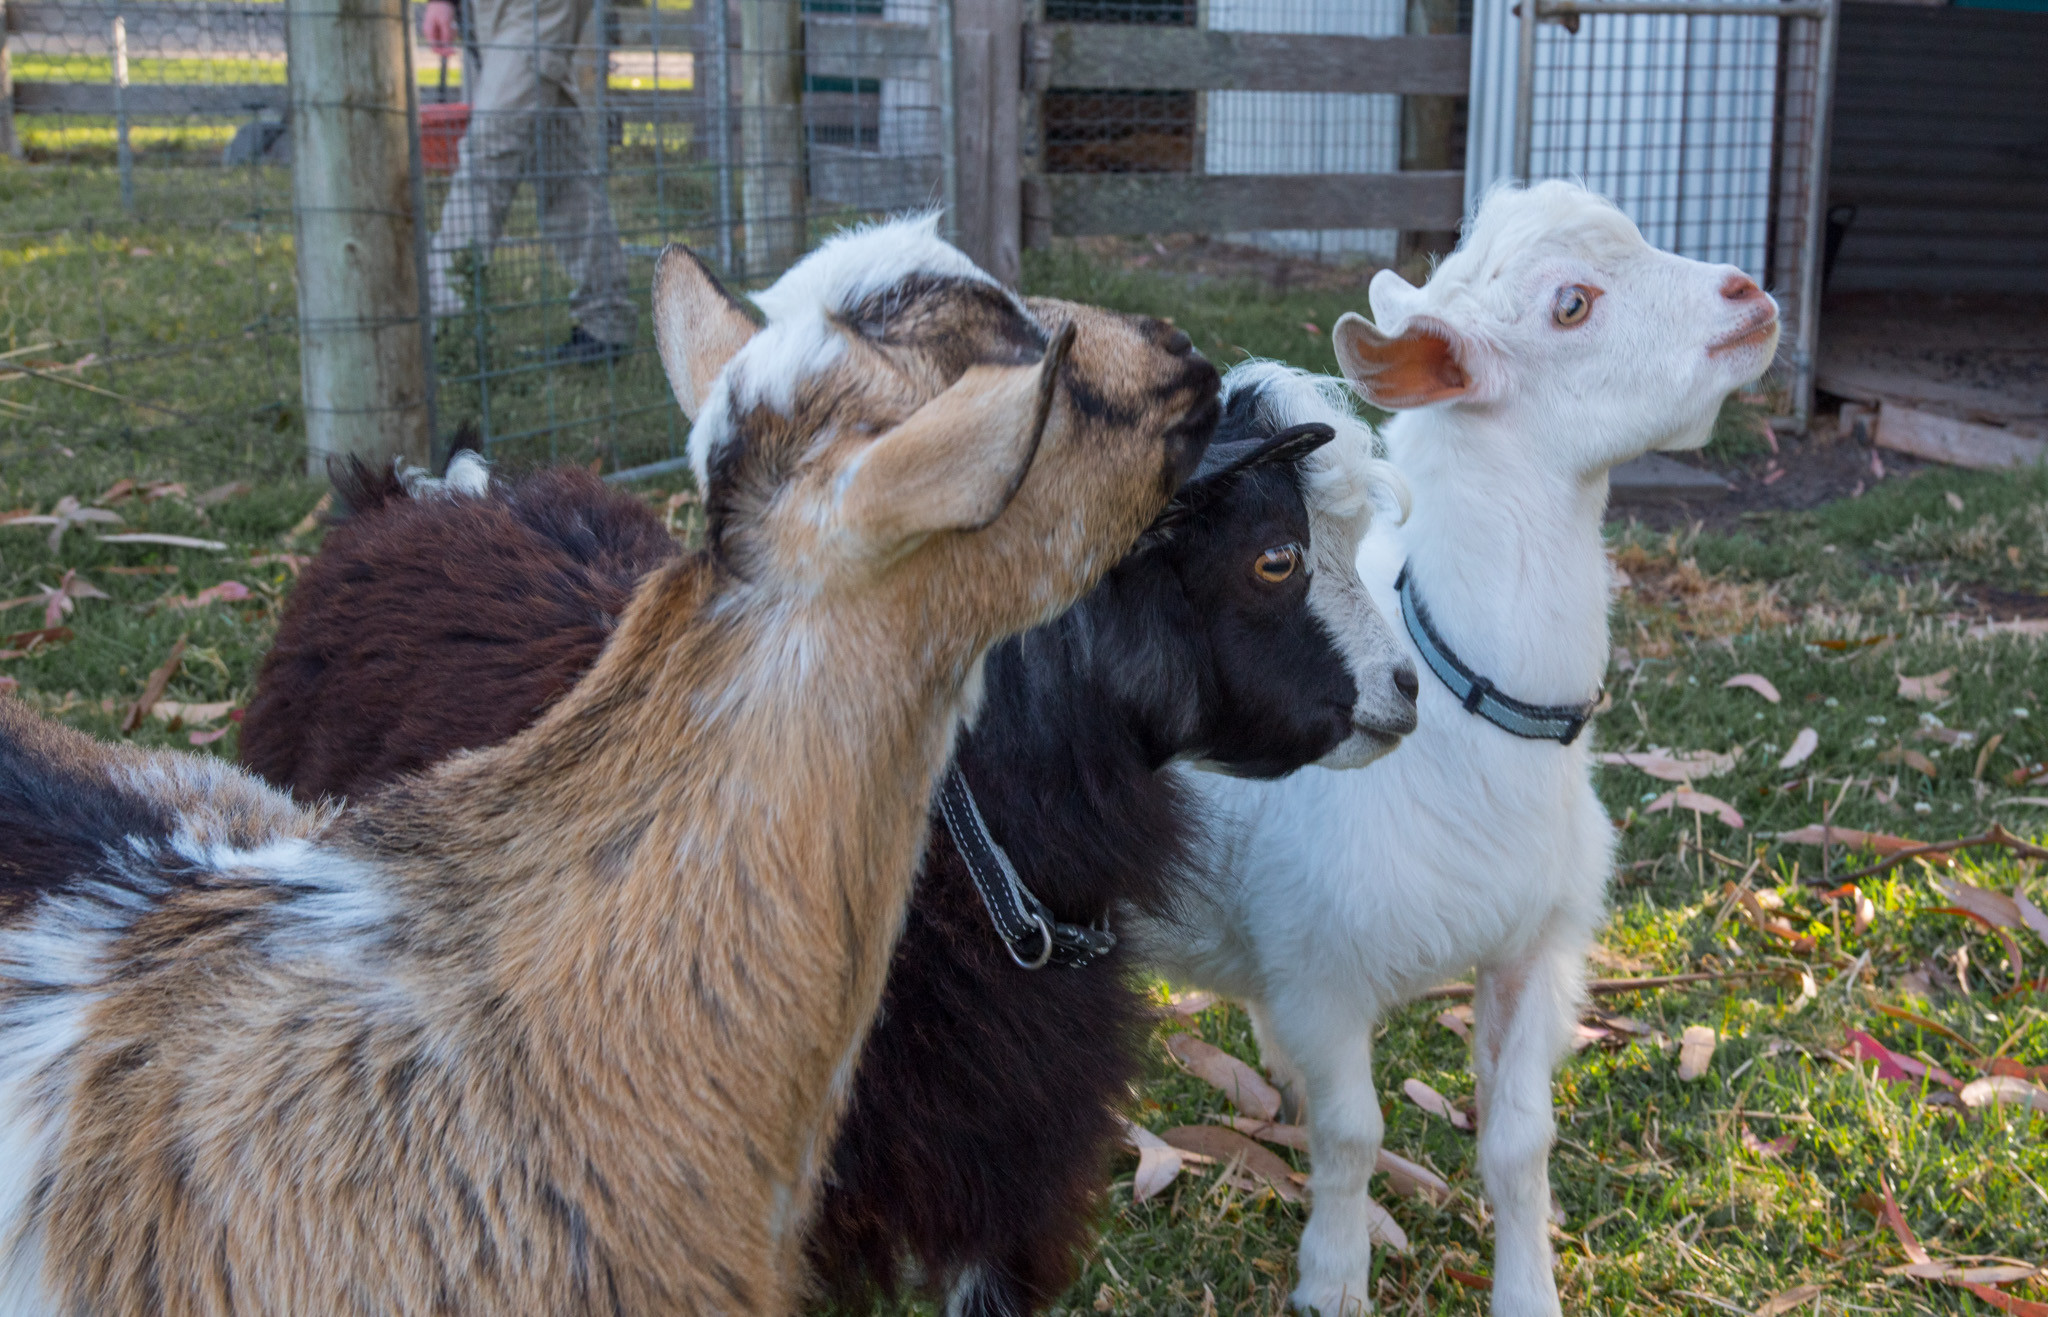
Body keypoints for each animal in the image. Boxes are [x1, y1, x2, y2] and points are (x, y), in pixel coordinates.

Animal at [1134, 181, 1782, 1317]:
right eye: (1570, 303)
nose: (1749, 293)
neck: (1467, 710)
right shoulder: (1319, 968)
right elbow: (1352, 1134)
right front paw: (1333, 1277)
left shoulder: (1533, 949)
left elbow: (1520, 1143)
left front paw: (1527, 1291)